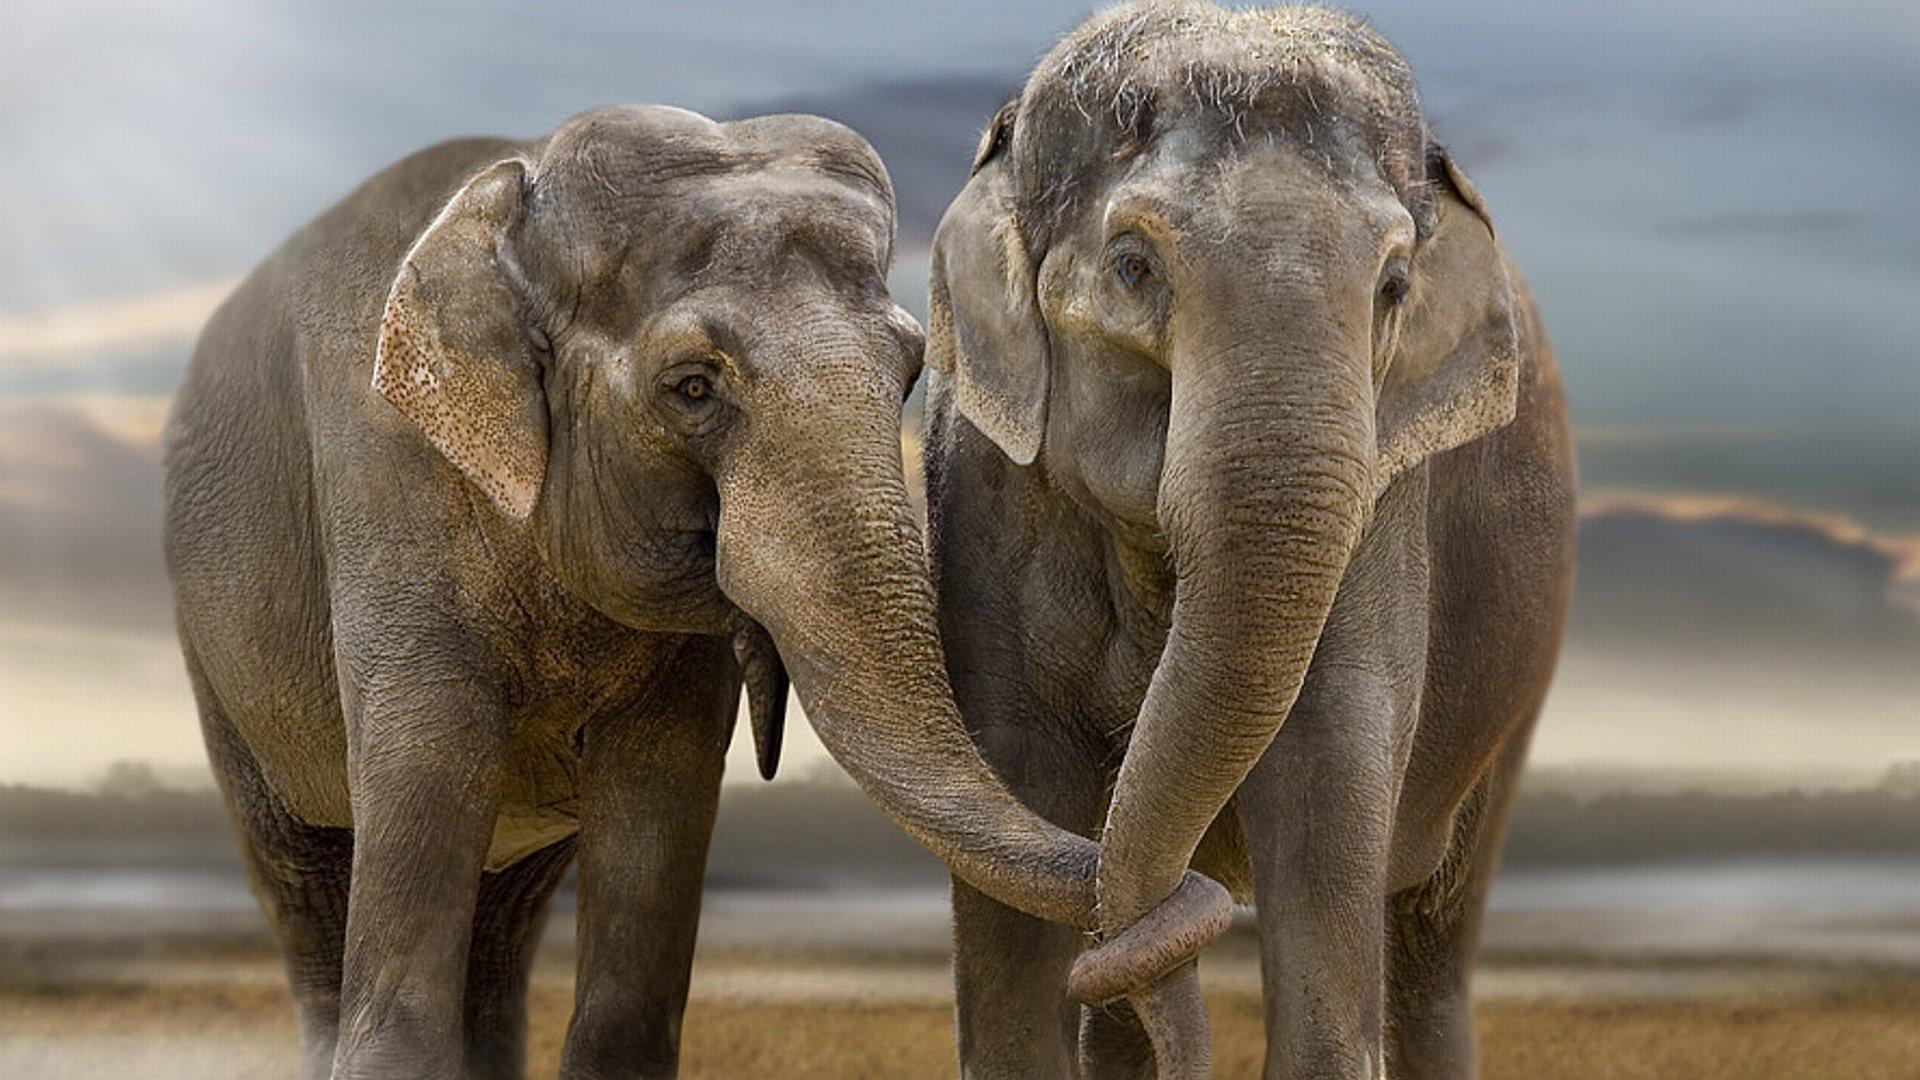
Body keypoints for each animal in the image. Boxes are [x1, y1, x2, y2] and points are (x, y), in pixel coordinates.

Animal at [163, 105, 1225, 1080]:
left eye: (911, 369)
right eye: (691, 388)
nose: (1187, 906)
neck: (521, 198)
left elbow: (659, 805)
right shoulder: (386, 486)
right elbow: (428, 765)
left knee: (501, 929)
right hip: (220, 666)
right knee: (304, 883)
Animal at [922, 4, 1576, 1078]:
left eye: (1394, 285)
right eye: (1134, 266)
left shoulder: (1385, 506)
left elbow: (1325, 770)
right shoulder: (982, 489)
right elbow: (1016, 783)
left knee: (1434, 939)